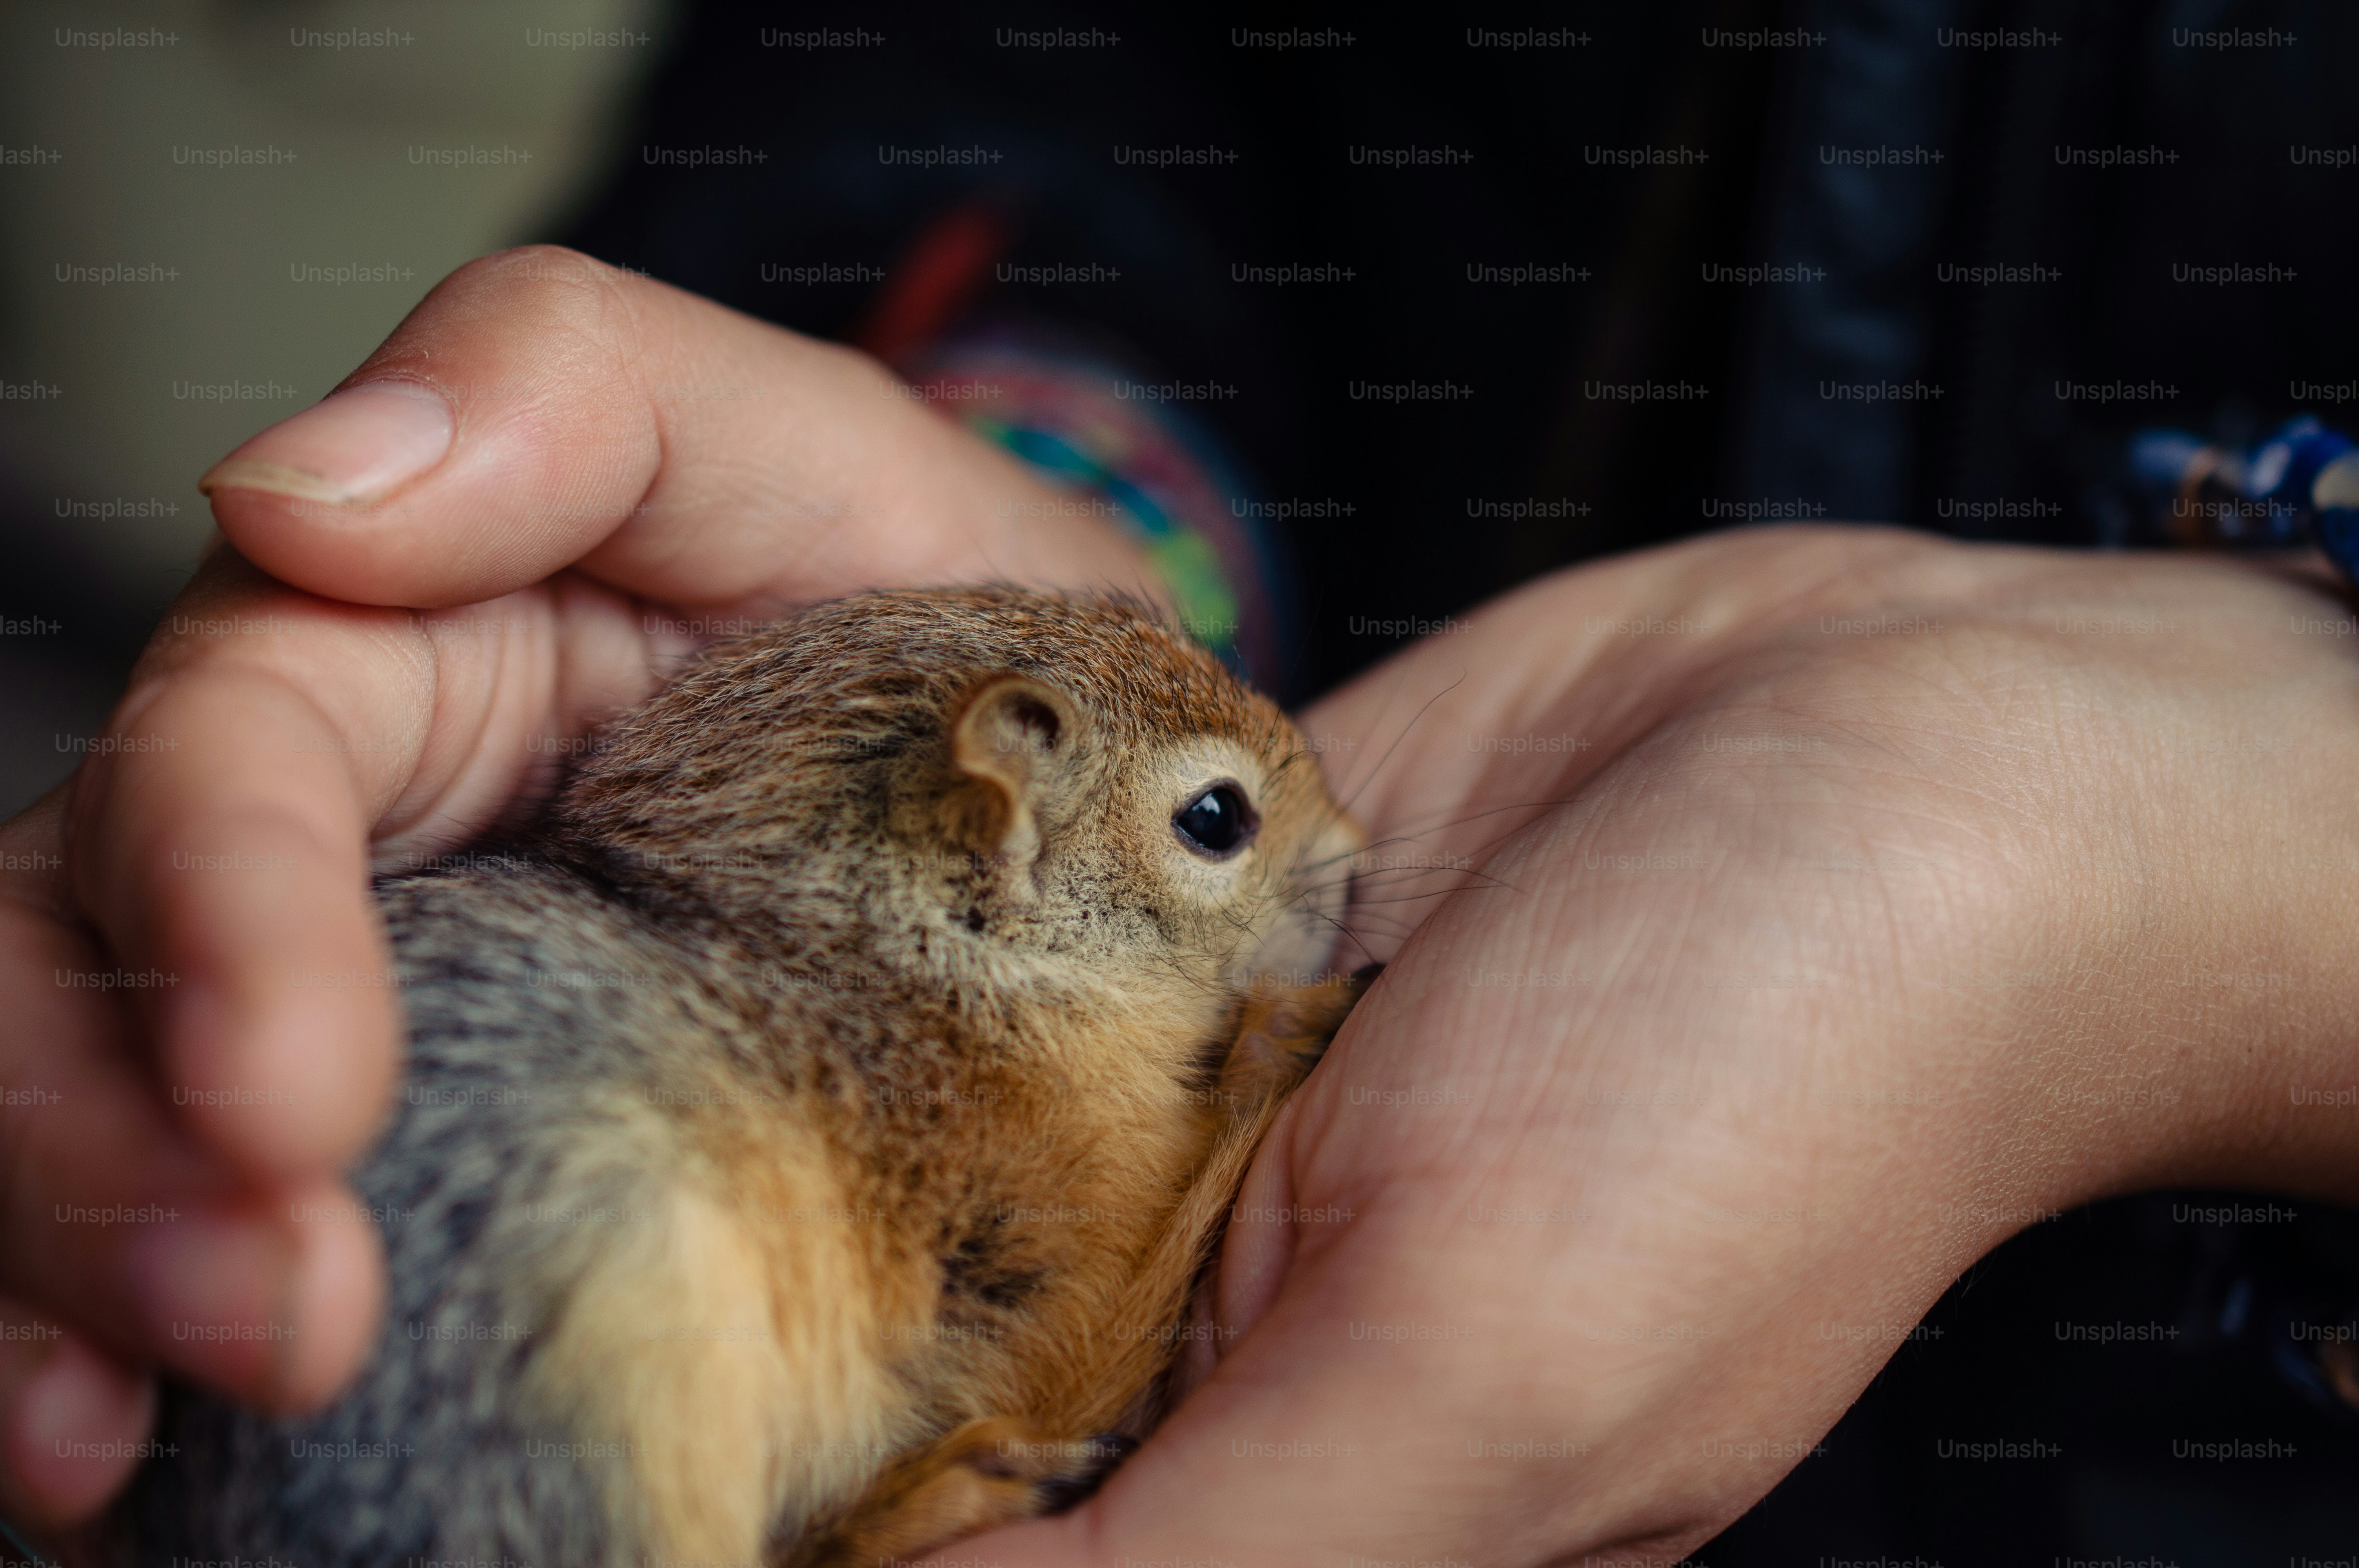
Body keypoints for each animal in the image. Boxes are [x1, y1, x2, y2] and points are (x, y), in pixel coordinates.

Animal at [102, 588, 1370, 1568]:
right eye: (1217, 817)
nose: (1356, 859)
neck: (924, 974)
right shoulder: (1015, 1232)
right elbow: (1086, 1338)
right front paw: (1279, 1036)